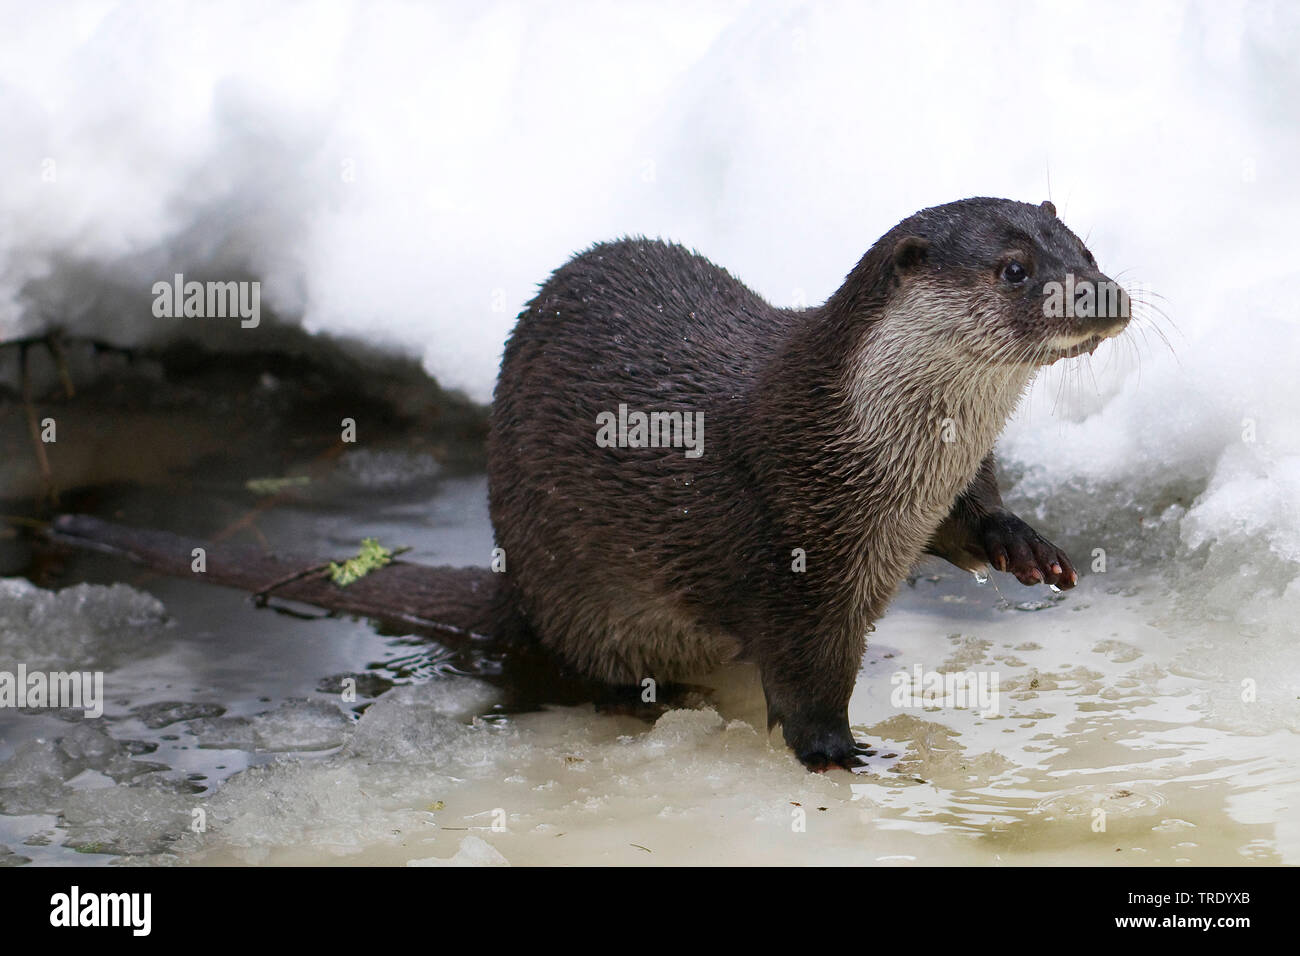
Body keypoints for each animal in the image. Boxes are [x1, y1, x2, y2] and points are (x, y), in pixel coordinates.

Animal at [487, 197, 1129, 770]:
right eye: (1014, 269)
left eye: (1087, 252)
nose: (1104, 292)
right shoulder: (791, 558)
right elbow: (805, 676)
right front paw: (837, 752)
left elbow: (968, 521)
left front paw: (1026, 548)